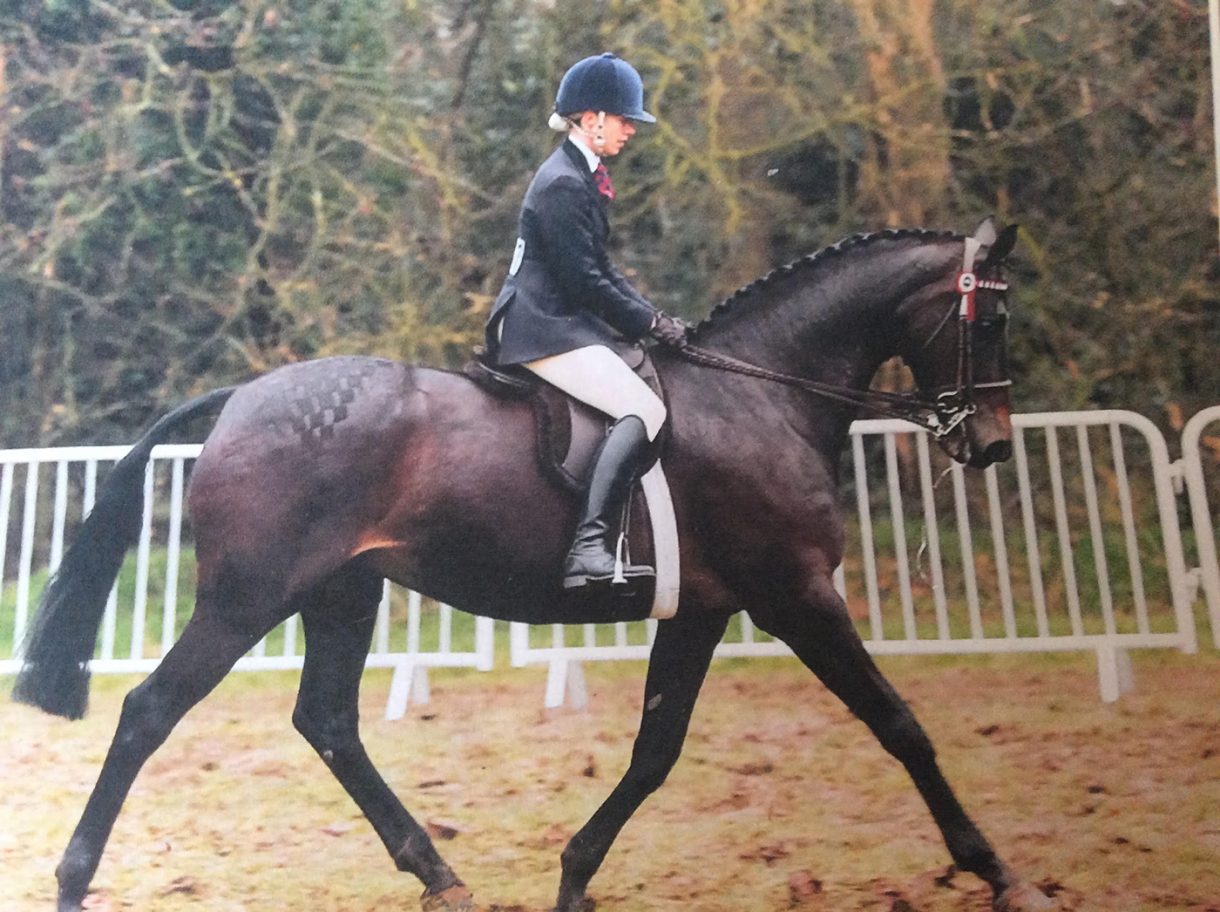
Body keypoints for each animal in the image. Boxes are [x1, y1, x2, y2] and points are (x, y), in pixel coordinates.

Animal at [13, 218, 1055, 912]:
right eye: (991, 322)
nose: (993, 446)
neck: (761, 399)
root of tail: (239, 397)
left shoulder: (703, 611)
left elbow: (654, 752)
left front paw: (575, 875)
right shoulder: (794, 594)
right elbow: (900, 724)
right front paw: (996, 870)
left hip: (343, 593)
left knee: (328, 723)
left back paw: (439, 875)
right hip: (248, 598)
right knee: (149, 712)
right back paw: (72, 880)